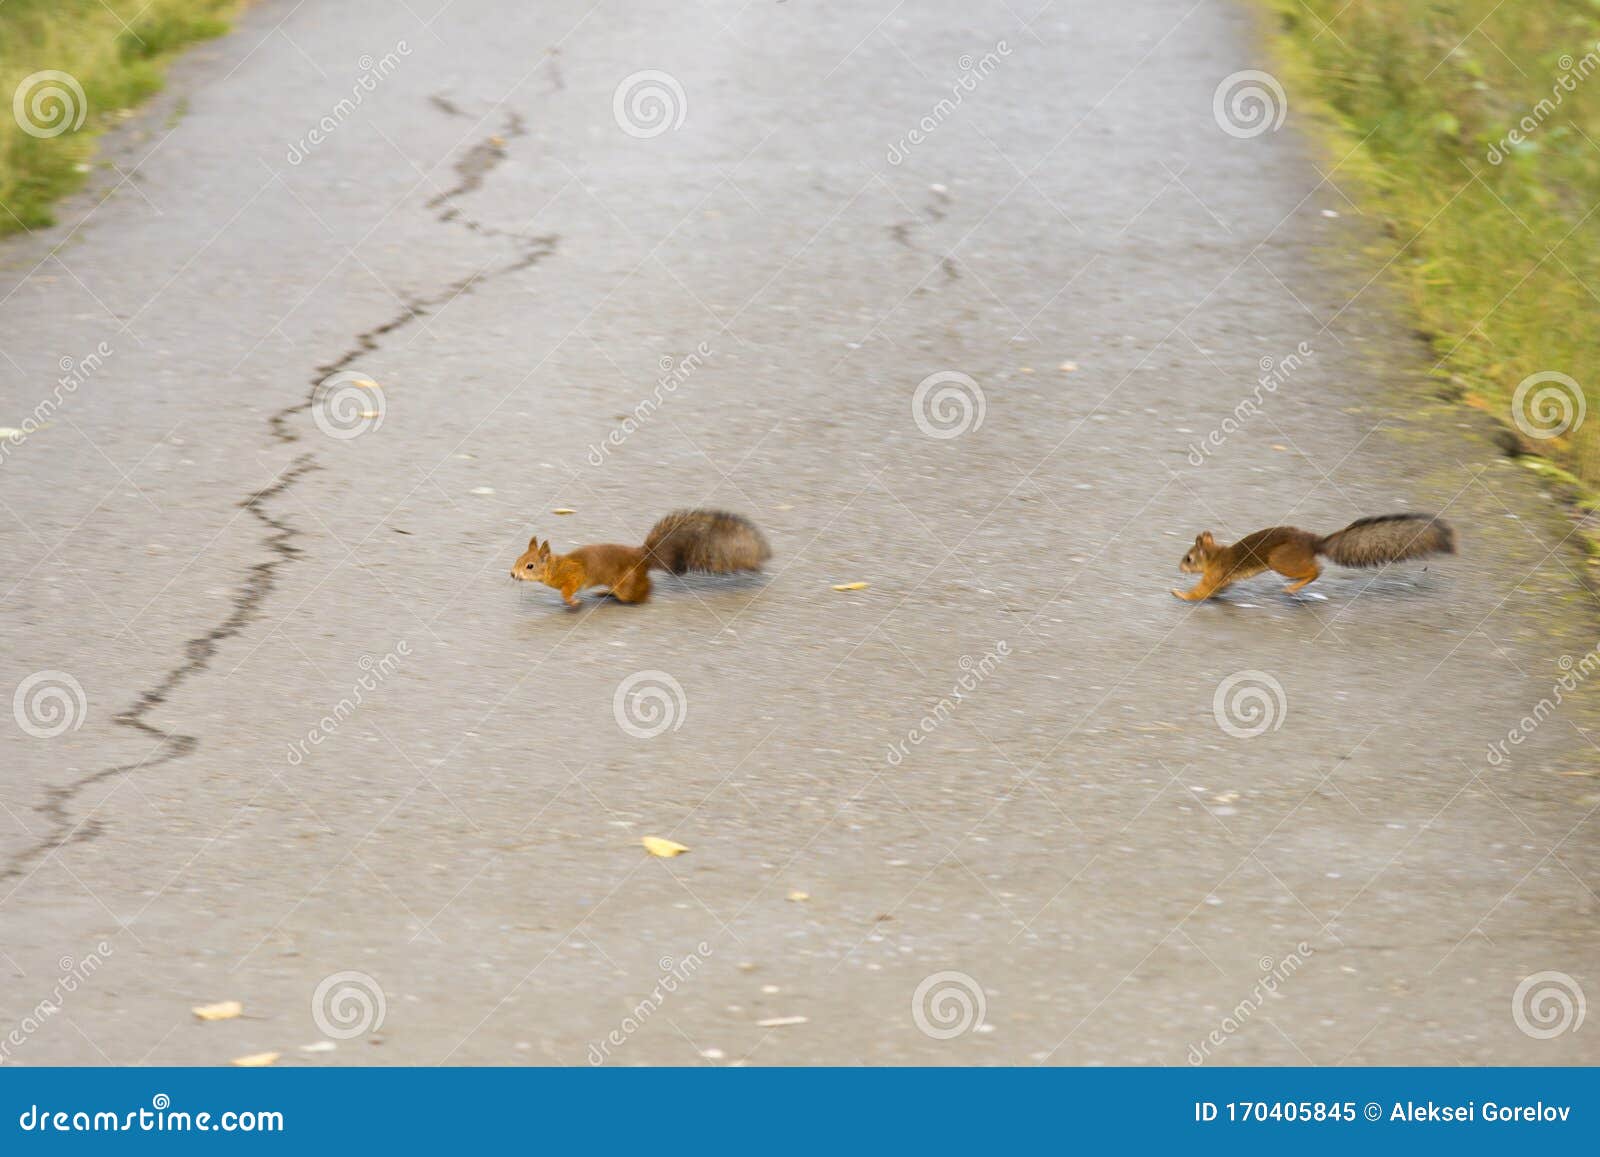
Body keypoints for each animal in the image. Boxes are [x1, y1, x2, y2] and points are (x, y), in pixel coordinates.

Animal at [511, 509, 772, 605]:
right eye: (518, 559)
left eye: (530, 565)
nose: (512, 574)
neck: (556, 567)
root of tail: (644, 557)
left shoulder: (574, 574)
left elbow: (568, 590)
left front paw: (572, 602)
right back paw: (605, 593)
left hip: (628, 582)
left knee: (645, 590)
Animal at [1172, 512, 1456, 600]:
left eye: (1188, 559)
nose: (1179, 568)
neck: (1213, 556)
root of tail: (1314, 542)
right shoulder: (1224, 577)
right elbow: (1218, 589)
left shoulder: (1215, 573)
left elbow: (1201, 591)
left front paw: (1181, 594)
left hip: (1281, 560)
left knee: (1316, 570)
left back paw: (1292, 588)